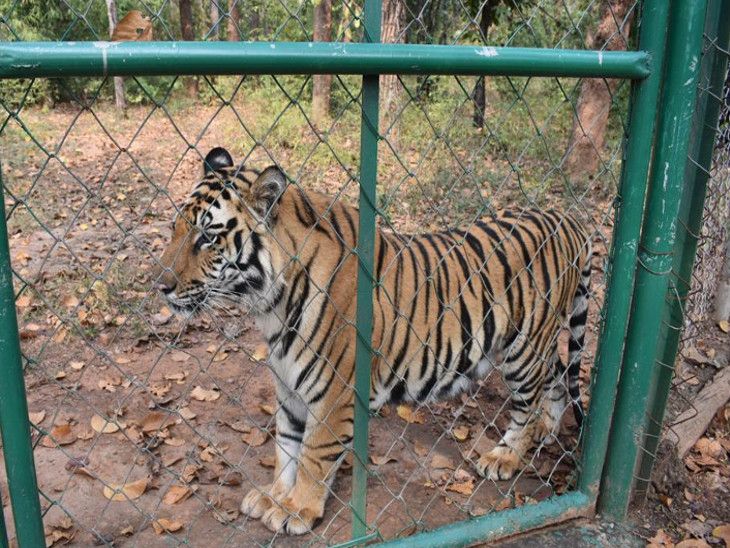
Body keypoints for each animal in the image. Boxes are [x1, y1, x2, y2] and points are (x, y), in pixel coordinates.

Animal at [154, 147, 592, 535]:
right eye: (175, 228)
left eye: (207, 238)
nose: (160, 286)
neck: (268, 303)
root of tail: (565, 216)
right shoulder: (289, 387)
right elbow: (286, 448)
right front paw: (275, 496)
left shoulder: (333, 393)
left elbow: (313, 454)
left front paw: (297, 510)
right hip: (534, 342)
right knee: (555, 376)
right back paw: (545, 430)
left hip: (524, 348)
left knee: (528, 402)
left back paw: (505, 456)